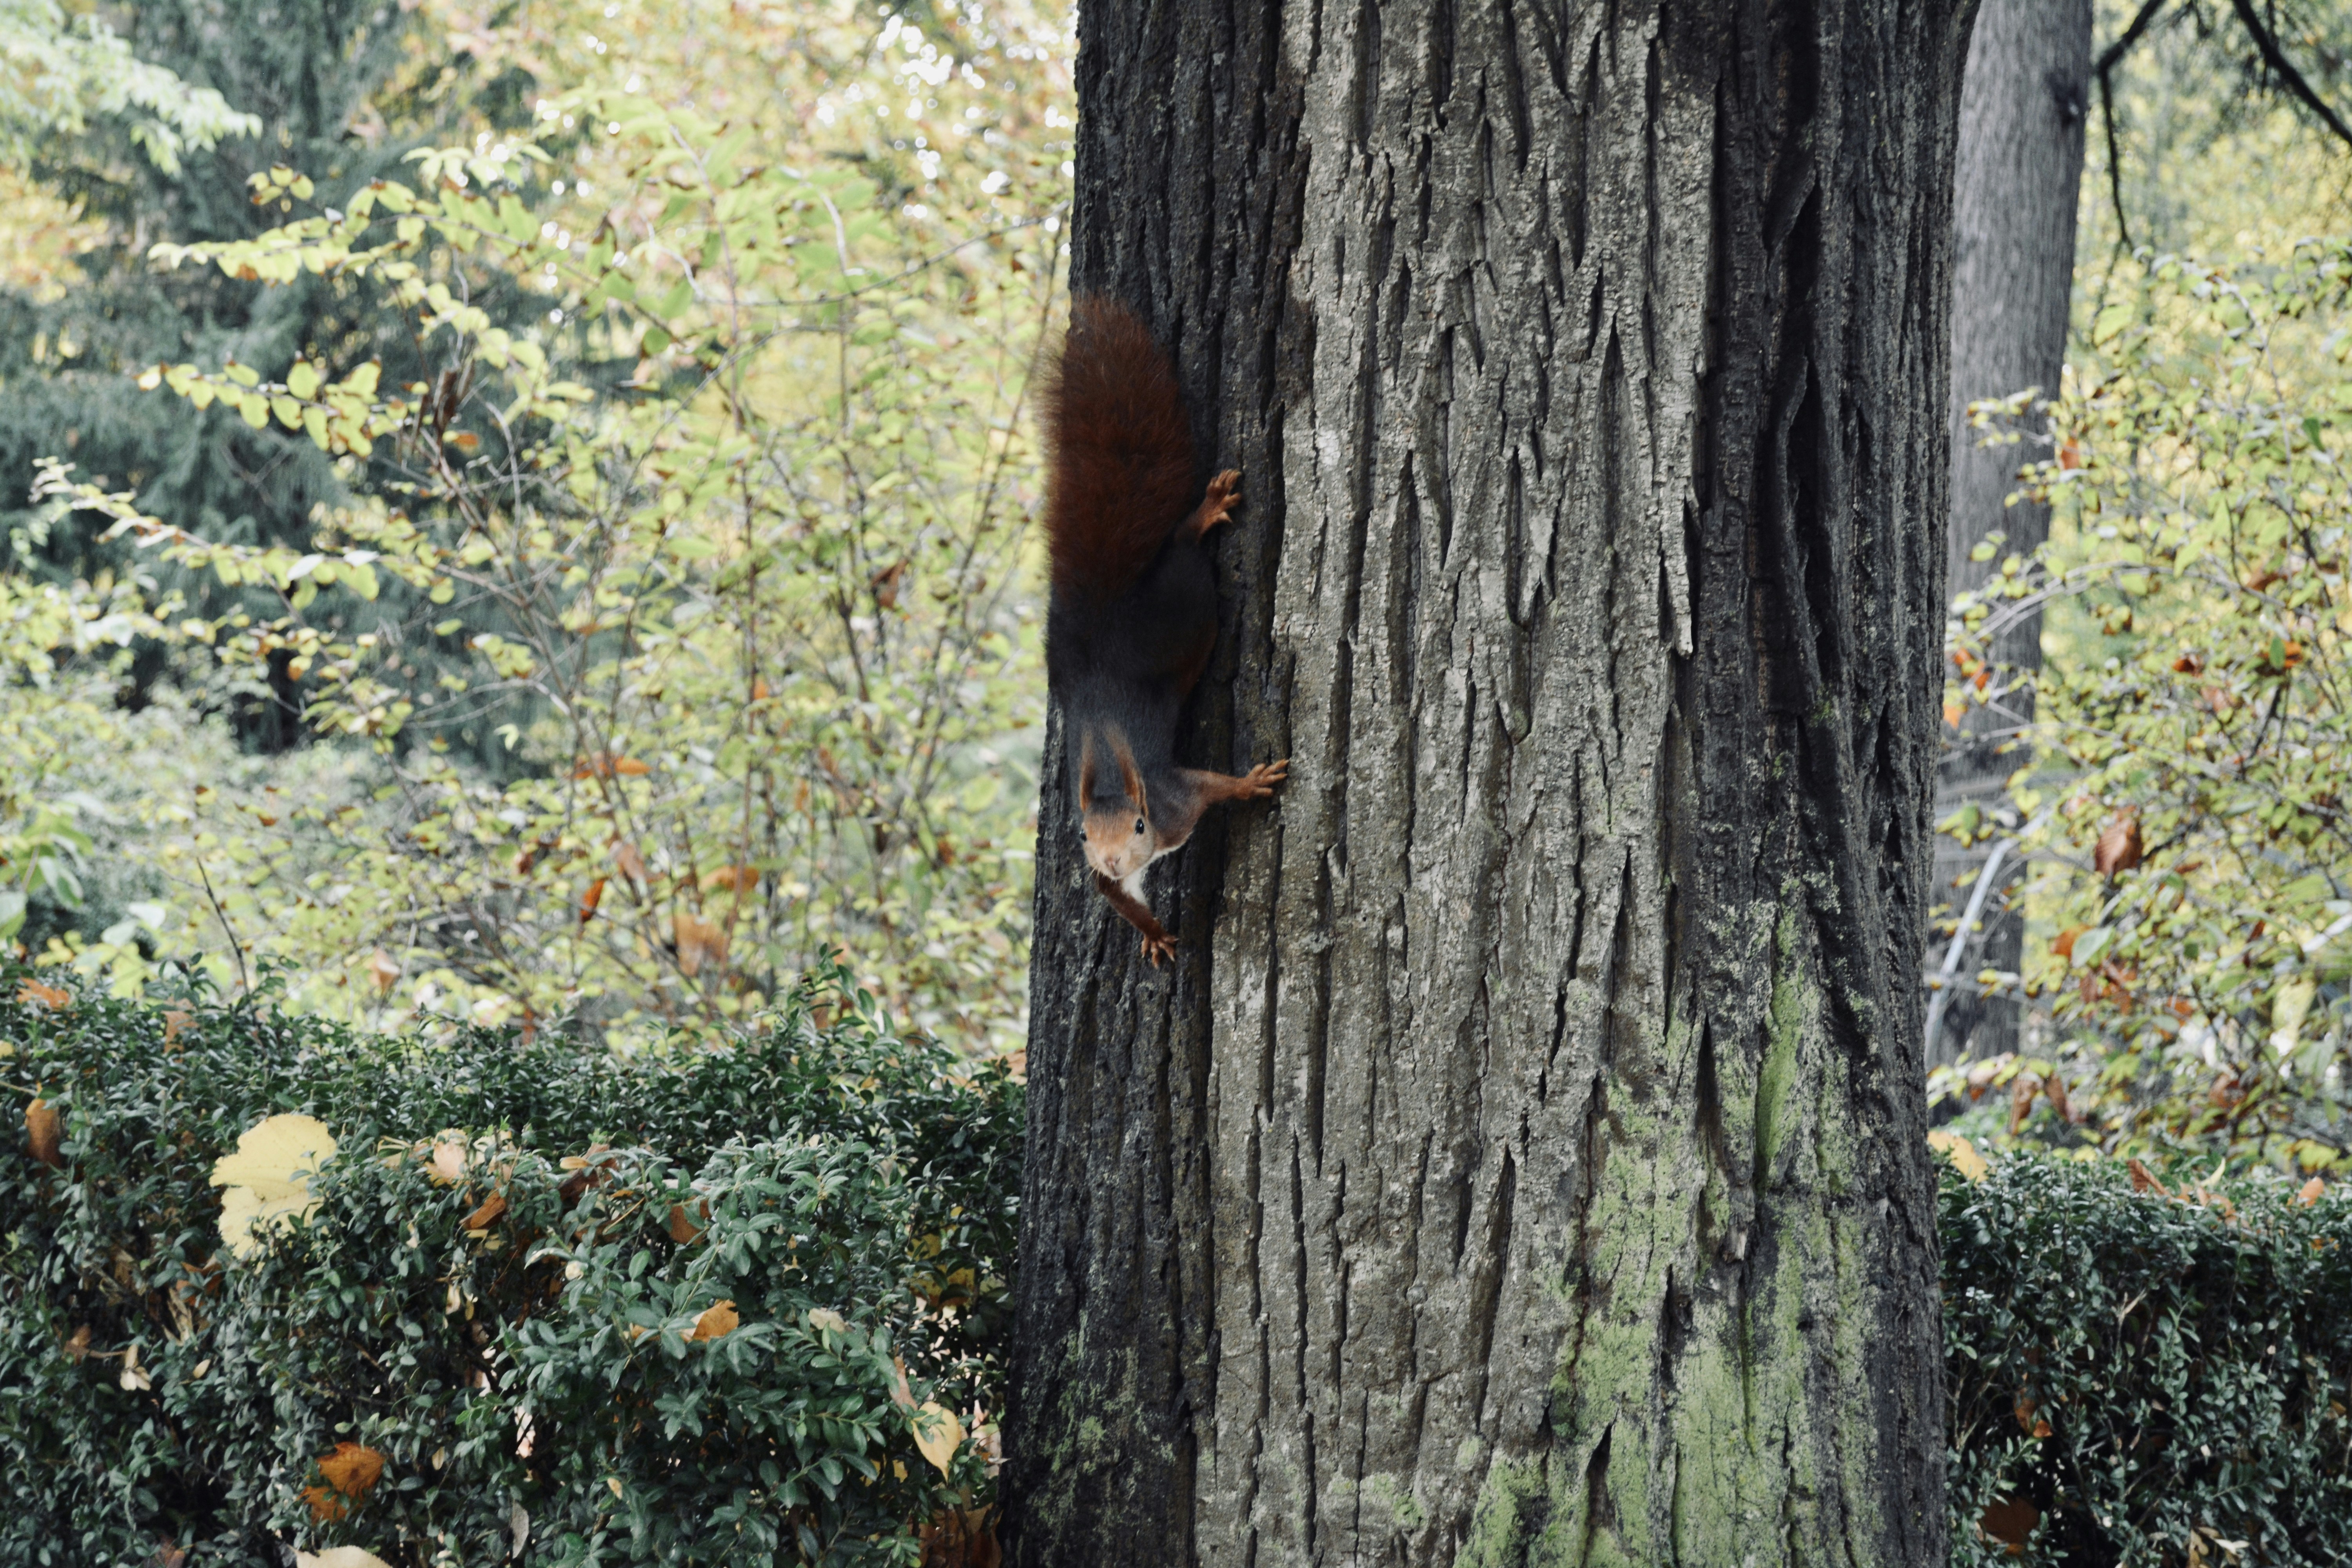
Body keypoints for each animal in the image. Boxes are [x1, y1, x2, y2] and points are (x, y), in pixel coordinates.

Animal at [1039, 296, 1288, 967]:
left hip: (1185, 604)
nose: (1112, 858)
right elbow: (1120, 903)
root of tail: (1104, 614)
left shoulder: (1176, 801)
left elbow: (1214, 785)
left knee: (1180, 546)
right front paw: (1151, 932)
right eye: (1082, 836)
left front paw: (1252, 783)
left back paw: (1205, 512)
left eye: (1140, 825)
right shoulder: (1105, 877)